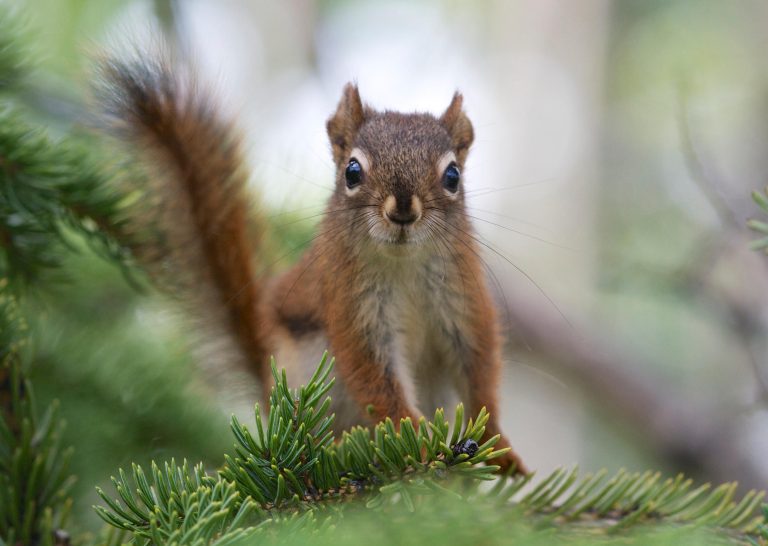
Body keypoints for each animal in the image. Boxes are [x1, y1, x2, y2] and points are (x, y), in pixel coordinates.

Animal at [98, 55, 528, 475]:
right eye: (352, 171)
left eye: (452, 175)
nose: (403, 210)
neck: (403, 263)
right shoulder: (351, 304)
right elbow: (375, 378)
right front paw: (420, 442)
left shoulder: (462, 297)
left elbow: (479, 368)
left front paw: (499, 447)